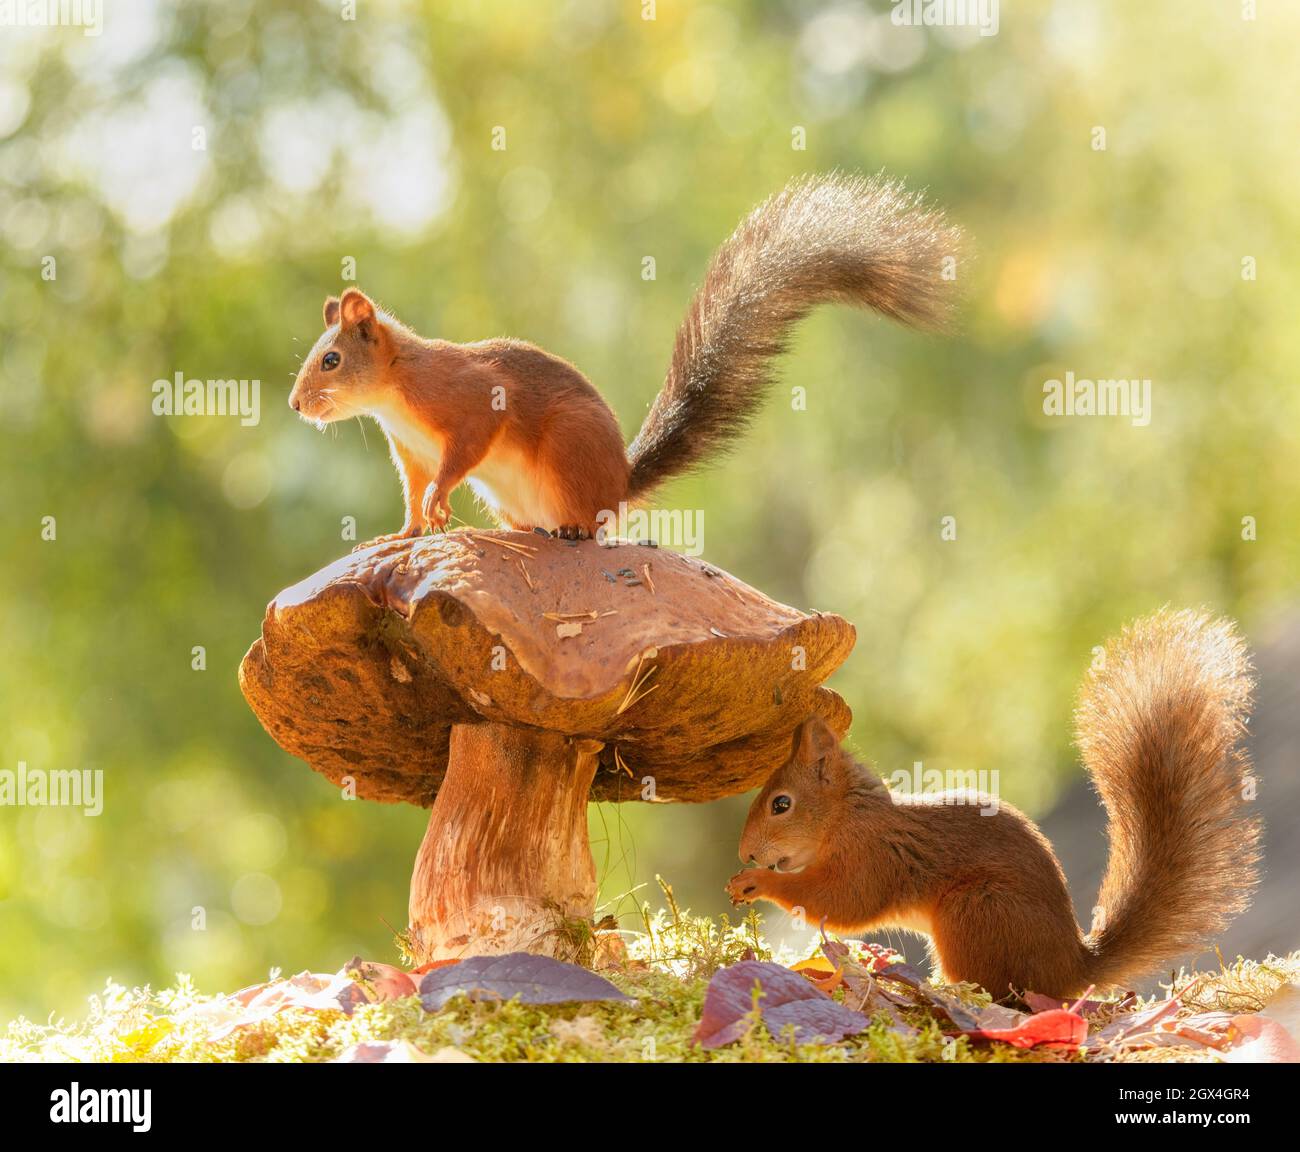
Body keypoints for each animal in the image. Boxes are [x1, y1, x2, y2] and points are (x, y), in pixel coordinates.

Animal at [287, 174, 958, 545]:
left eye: (331, 360)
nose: (295, 405)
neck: (395, 394)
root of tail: (619, 483)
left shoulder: (468, 400)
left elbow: (464, 450)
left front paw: (438, 505)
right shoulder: (411, 451)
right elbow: (411, 491)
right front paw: (405, 530)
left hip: (568, 447)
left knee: (588, 521)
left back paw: (573, 528)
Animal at [726, 609, 1261, 1000]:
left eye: (781, 804)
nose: (745, 853)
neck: (845, 815)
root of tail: (1070, 968)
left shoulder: (872, 855)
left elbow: (841, 902)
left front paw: (756, 883)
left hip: (975, 913)